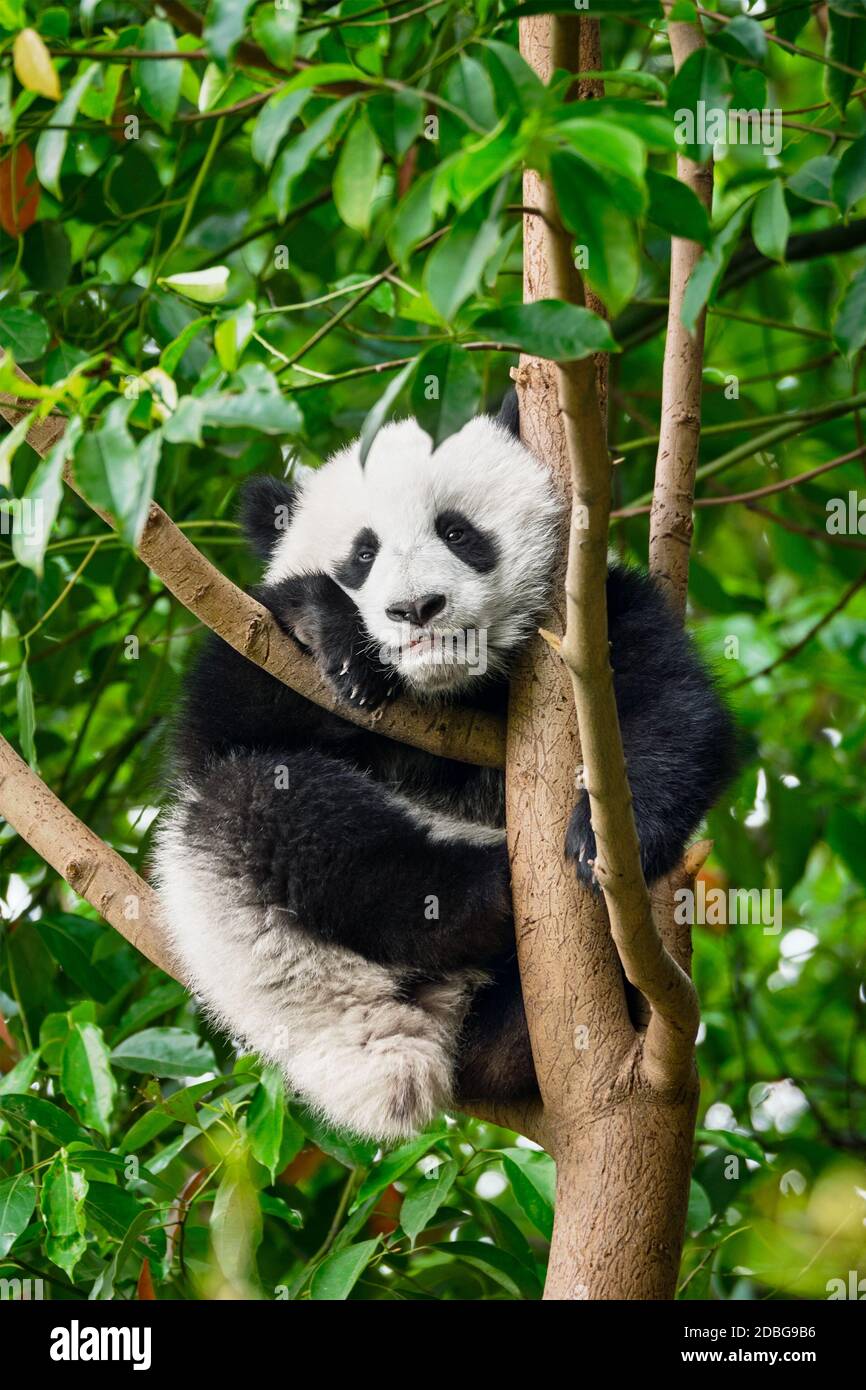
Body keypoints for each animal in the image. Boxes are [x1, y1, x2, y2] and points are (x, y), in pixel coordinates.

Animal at [152, 399, 736, 1142]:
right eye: (362, 554)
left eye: (456, 531)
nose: (415, 609)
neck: (448, 690)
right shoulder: (245, 649)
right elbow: (231, 718)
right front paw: (332, 632)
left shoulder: (590, 618)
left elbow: (672, 709)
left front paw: (602, 841)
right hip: (246, 929)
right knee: (281, 814)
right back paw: (481, 890)